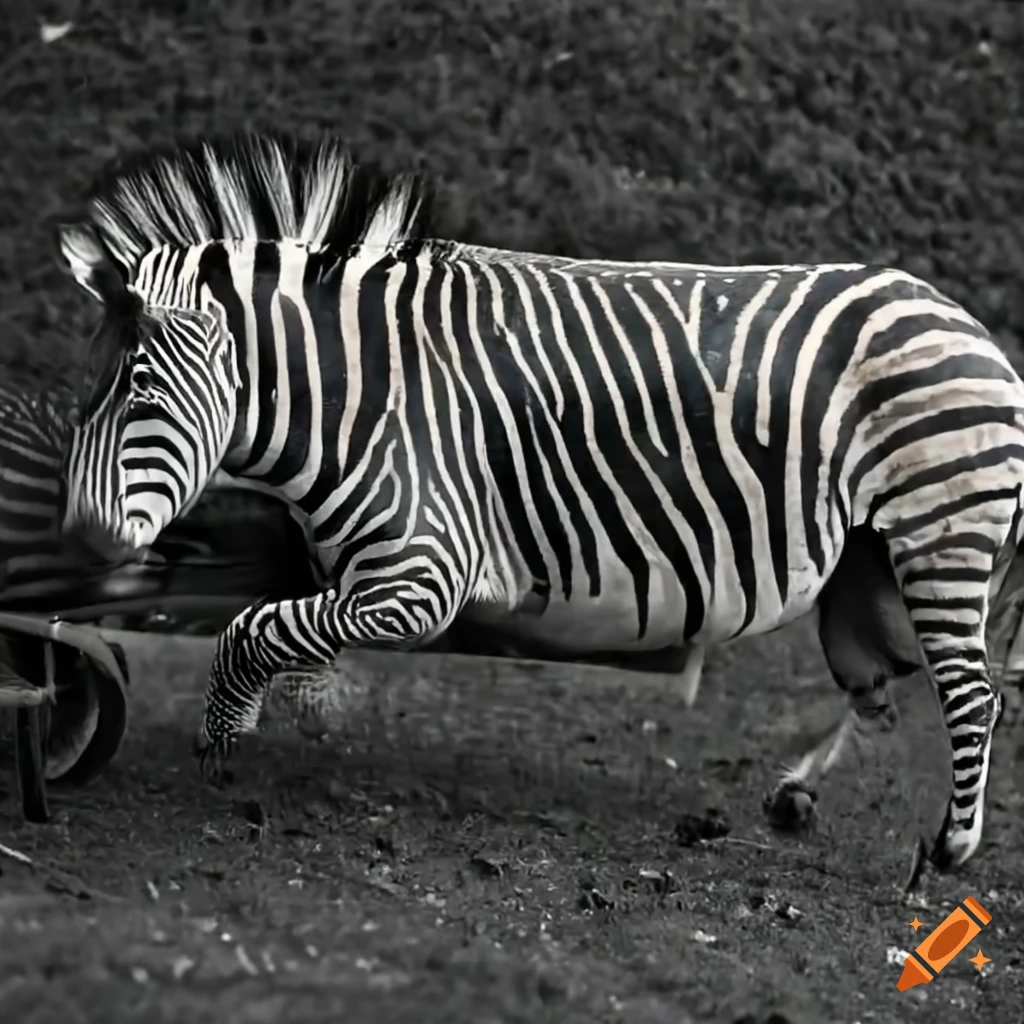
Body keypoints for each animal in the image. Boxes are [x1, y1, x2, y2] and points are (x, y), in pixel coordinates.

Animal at [54, 129, 1024, 881]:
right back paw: (796, 798)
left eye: (140, 392)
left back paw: (951, 848)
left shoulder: (421, 579)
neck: (362, 393)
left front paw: (222, 739)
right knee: (886, 687)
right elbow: (281, 623)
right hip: (867, 562)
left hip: (938, 537)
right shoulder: (356, 575)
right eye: (88, 391)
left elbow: (252, 628)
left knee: (973, 690)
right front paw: (284, 709)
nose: (80, 544)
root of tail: (966, 324)